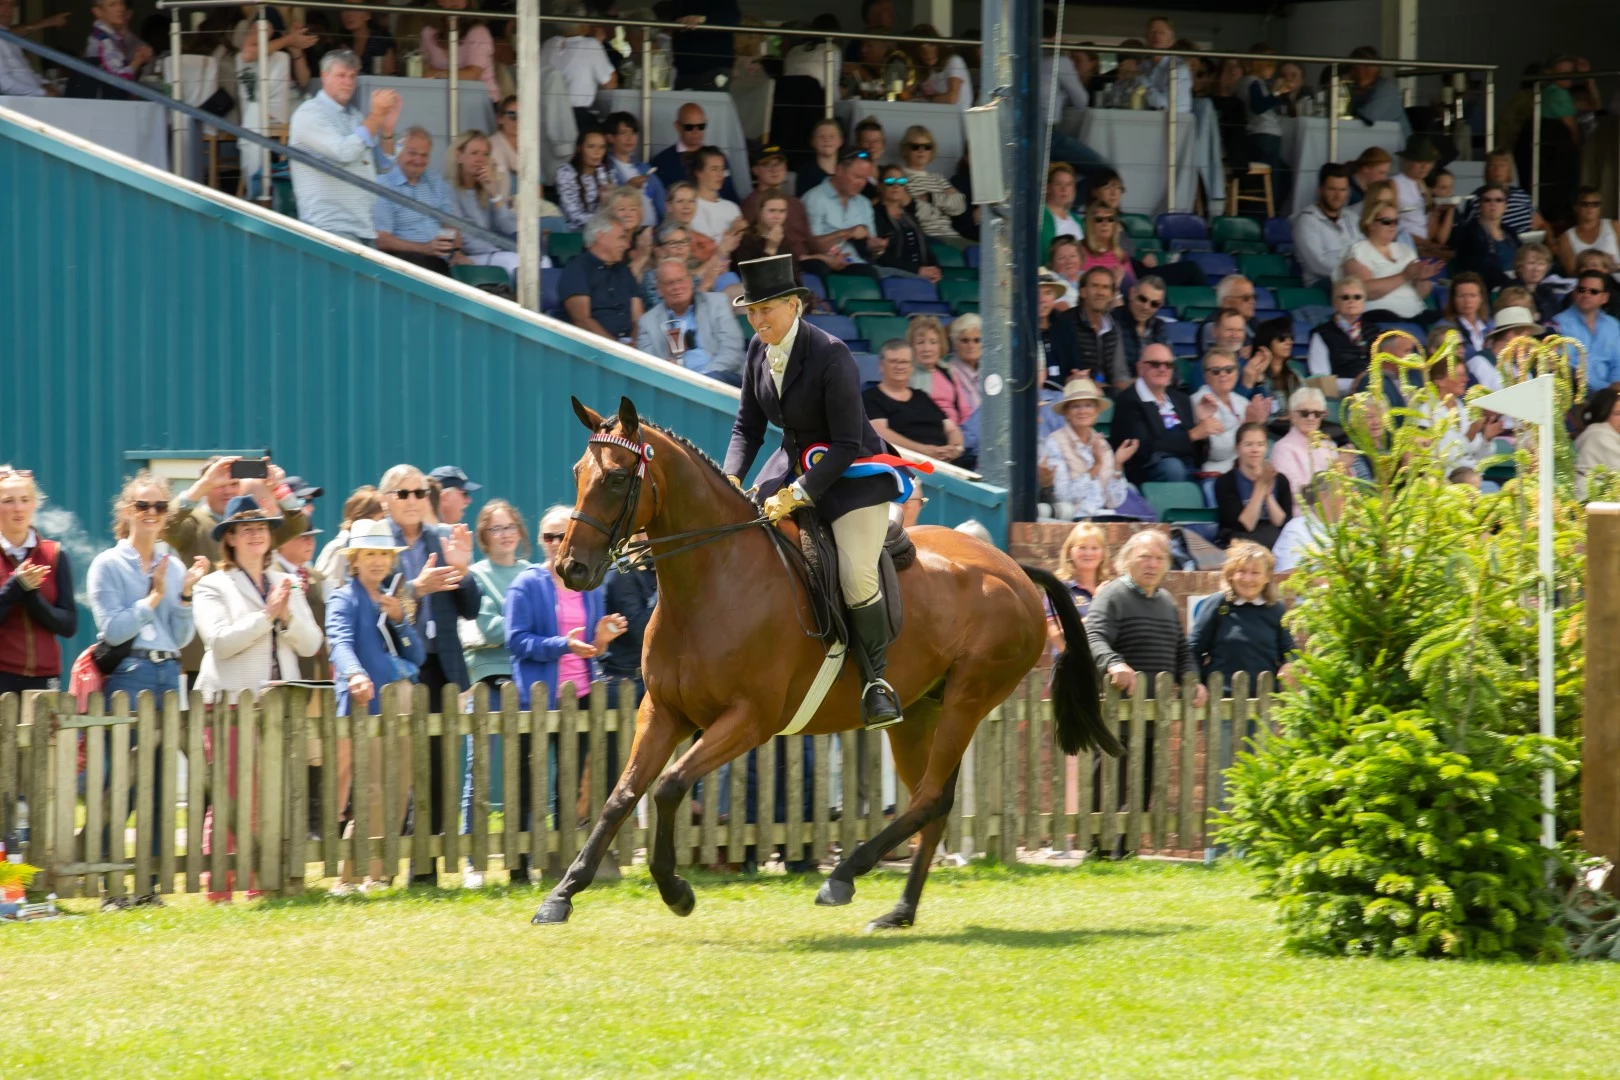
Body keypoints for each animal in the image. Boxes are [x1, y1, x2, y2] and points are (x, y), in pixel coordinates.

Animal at [532, 396, 1120, 930]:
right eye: (579, 473)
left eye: (615, 479)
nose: (571, 568)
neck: (713, 579)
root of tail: (1015, 569)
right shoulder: (663, 711)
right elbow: (621, 796)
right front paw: (562, 895)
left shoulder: (748, 720)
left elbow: (670, 786)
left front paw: (675, 889)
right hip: (918, 714)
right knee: (934, 802)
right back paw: (899, 911)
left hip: (968, 698)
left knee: (930, 796)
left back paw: (844, 876)